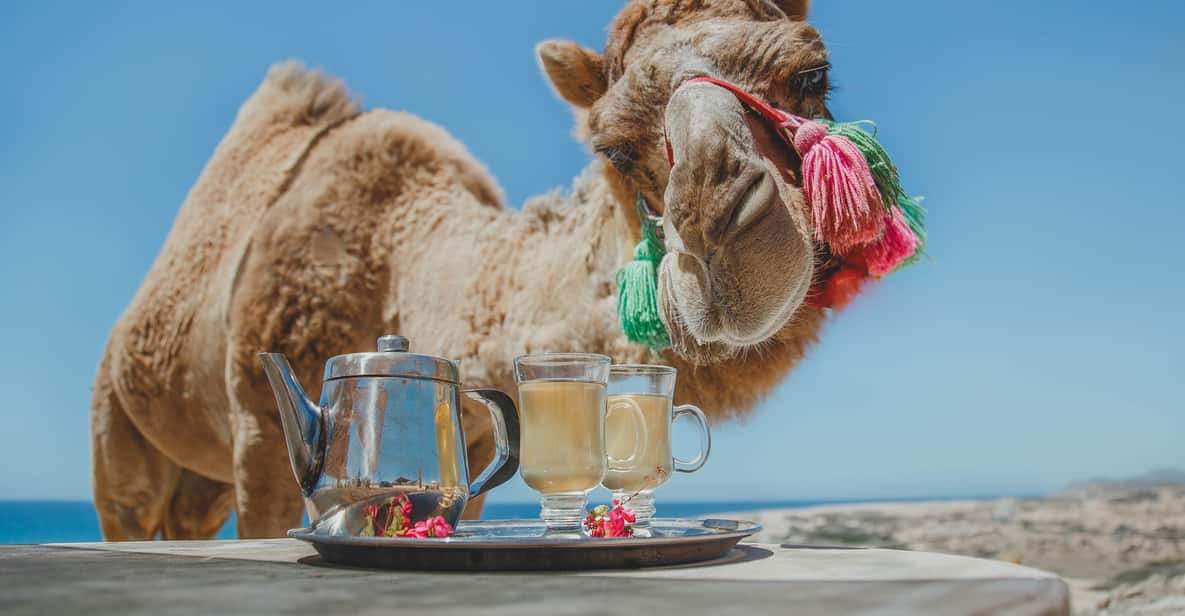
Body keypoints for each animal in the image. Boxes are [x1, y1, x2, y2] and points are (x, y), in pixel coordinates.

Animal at [92, 0, 850, 540]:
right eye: (613, 148)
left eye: (812, 76)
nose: (730, 243)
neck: (399, 254)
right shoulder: (260, 428)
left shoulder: (478, 434)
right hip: (121, 426)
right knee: (131, 507)